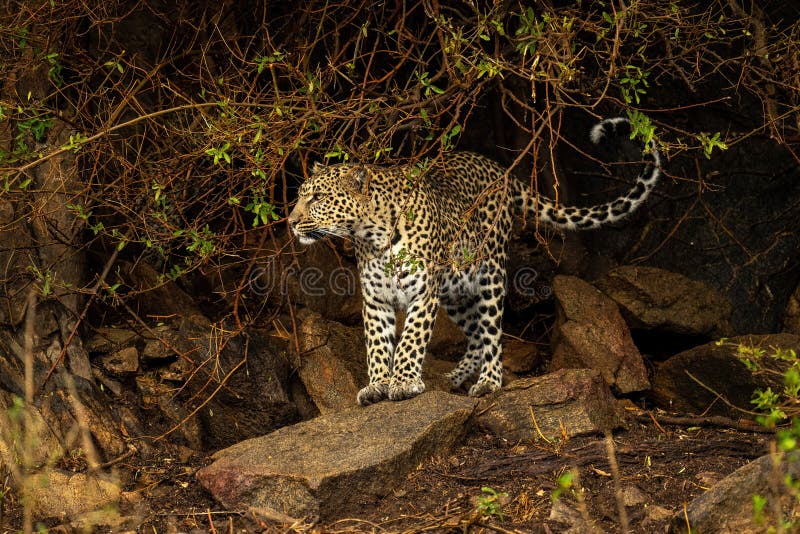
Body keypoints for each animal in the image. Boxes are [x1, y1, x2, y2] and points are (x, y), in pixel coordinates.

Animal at [287, 117, 661, 406]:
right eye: (301, 196)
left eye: (317, 198)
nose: (290, 222)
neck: (371, 235)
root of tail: (501, 171)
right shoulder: (377, 298)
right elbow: (378, 344)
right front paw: (377, 384)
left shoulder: (424, 293)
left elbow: (410, 340)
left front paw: (404, 382)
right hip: (456, 292)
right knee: (477, 336)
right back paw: (456, 375)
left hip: (490, 274)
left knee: (493, 334)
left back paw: (489, 382)